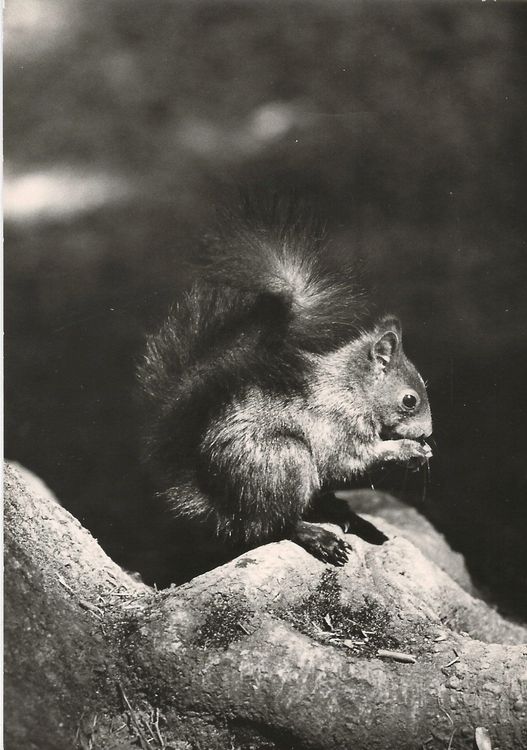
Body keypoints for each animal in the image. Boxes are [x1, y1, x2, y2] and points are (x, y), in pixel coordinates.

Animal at [138, 208, 432, 568]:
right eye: (409, 400)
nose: (428, 433)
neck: (353, 389)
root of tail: (220, 504)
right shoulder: (337, 424)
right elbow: (349, 460)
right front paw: (408, 450)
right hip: (285, 461)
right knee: (271, 525)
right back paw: (318, 536)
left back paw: (337, 510)